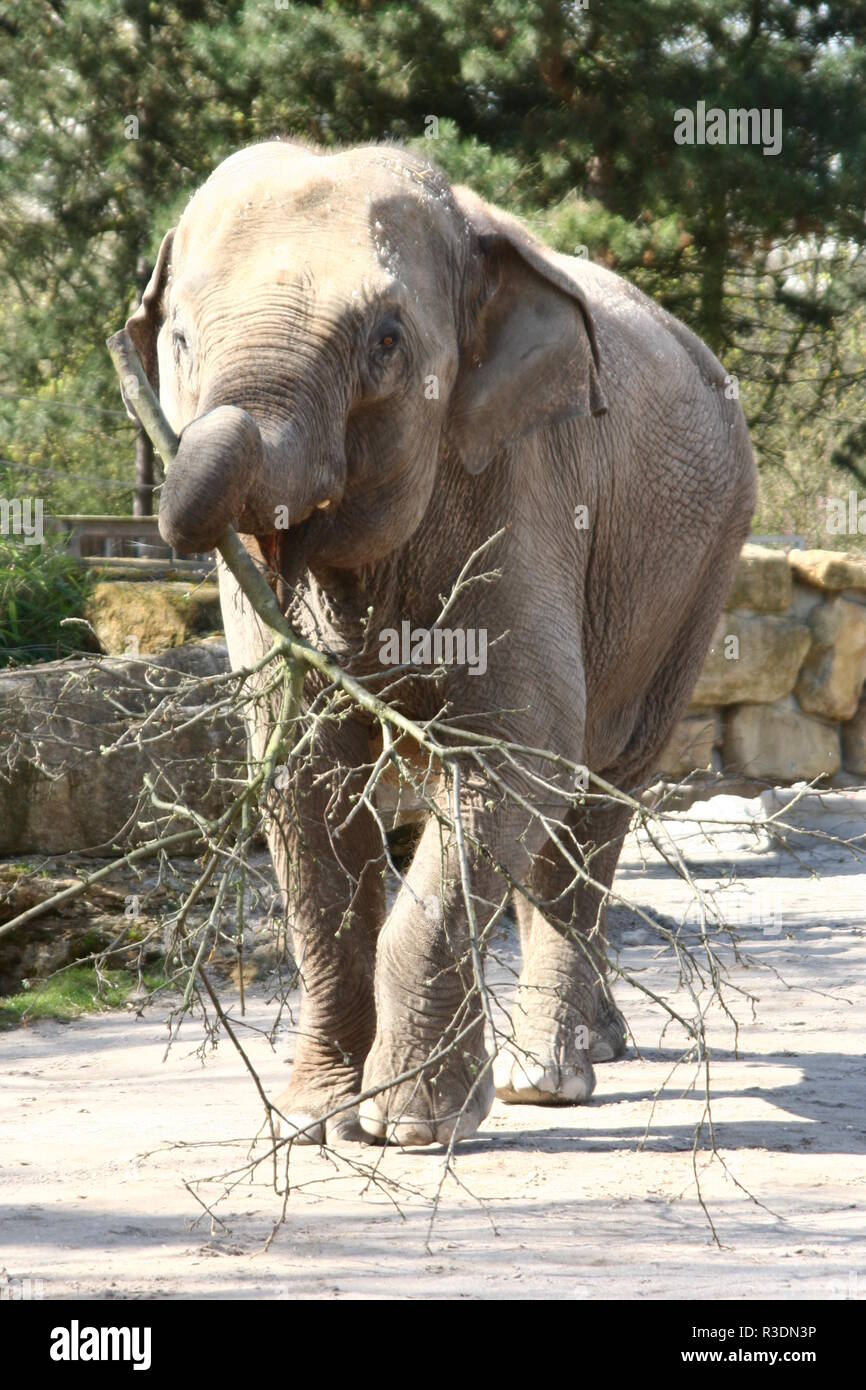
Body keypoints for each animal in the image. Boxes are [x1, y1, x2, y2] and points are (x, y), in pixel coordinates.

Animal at [118, 140, 755, 1147]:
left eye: (386, 340)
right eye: (178, 341)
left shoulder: (524, 487)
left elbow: (517, 748)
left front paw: (411, 1127)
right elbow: (300, 780)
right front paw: (319, 1119)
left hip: (704, 569)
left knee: (599, 789)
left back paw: (549, 1075)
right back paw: (601, 1045)